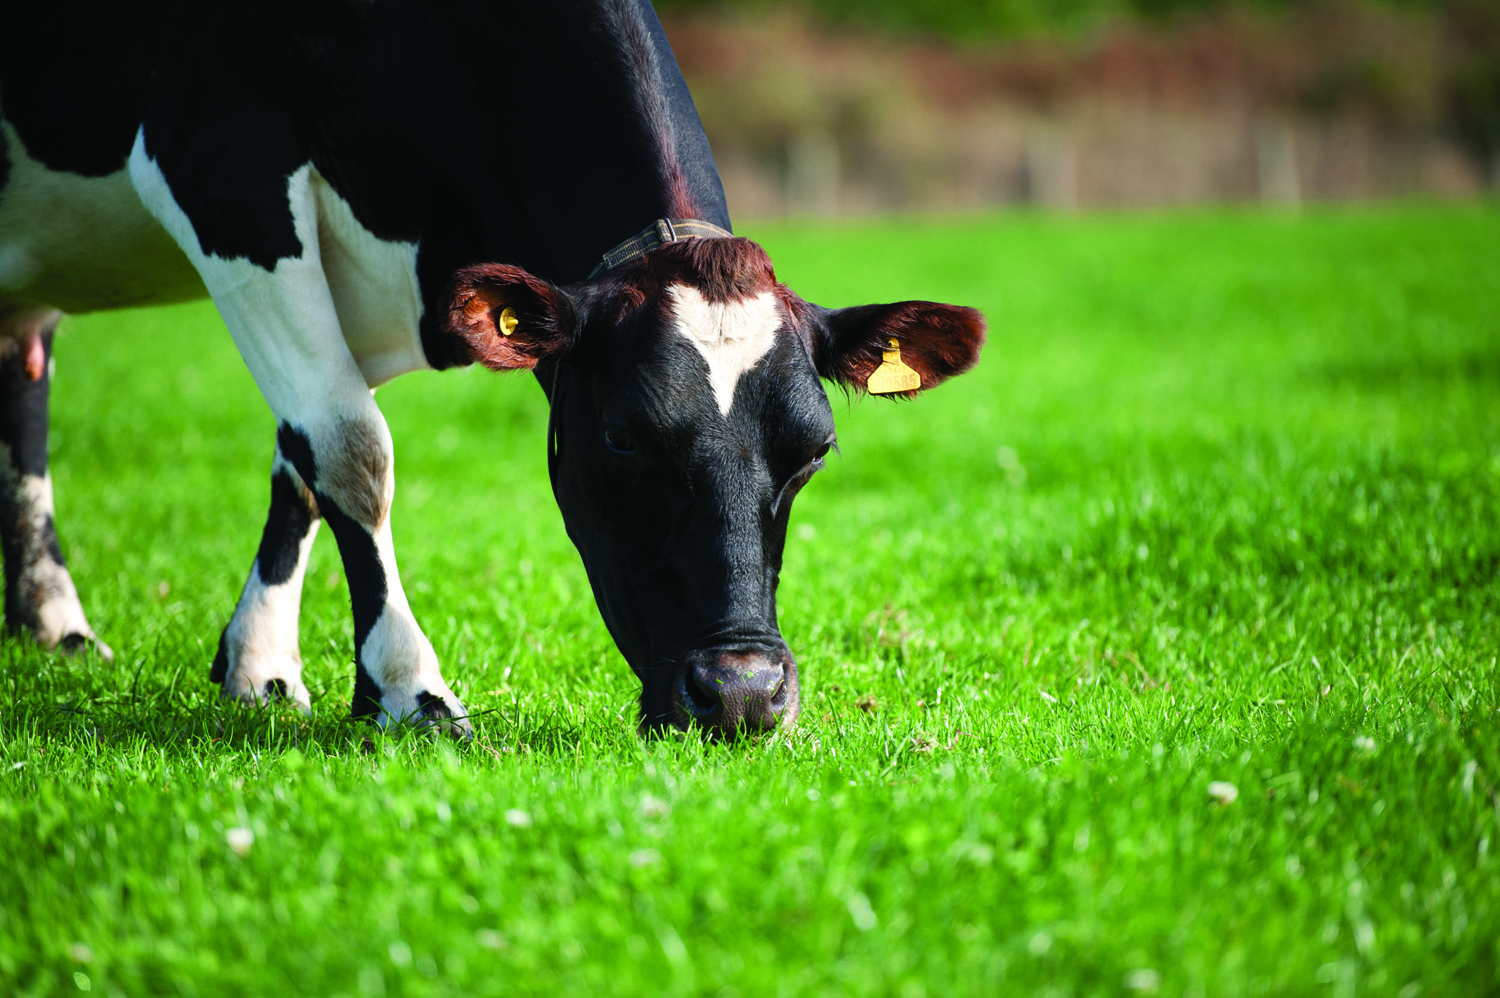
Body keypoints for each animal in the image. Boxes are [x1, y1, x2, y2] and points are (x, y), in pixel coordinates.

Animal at [0, 0, 984, 740]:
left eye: (814, 450)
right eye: (624, 438)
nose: (742, 694)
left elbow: (301, 460)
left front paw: (260, 664)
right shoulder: (219, 160)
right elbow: (348, 446)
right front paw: (406, 687)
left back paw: (53, 624)